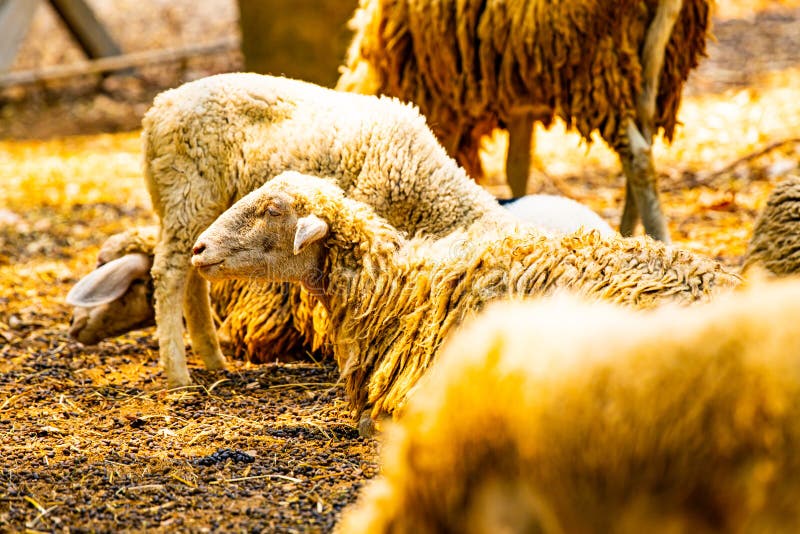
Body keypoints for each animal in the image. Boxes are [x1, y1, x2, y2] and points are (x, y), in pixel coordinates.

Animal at [143, 72, 523, 387]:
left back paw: (213, 358)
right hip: (188, 196)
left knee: (193, 278)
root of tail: (158, 109)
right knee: (169, 276)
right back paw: (178, 373)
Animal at [337, 0, 713, 242]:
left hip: (596, 62)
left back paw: (657, 237)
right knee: (645, 145)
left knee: (636, 153)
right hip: (652, 65)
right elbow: (517, 164)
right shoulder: (519, 97)